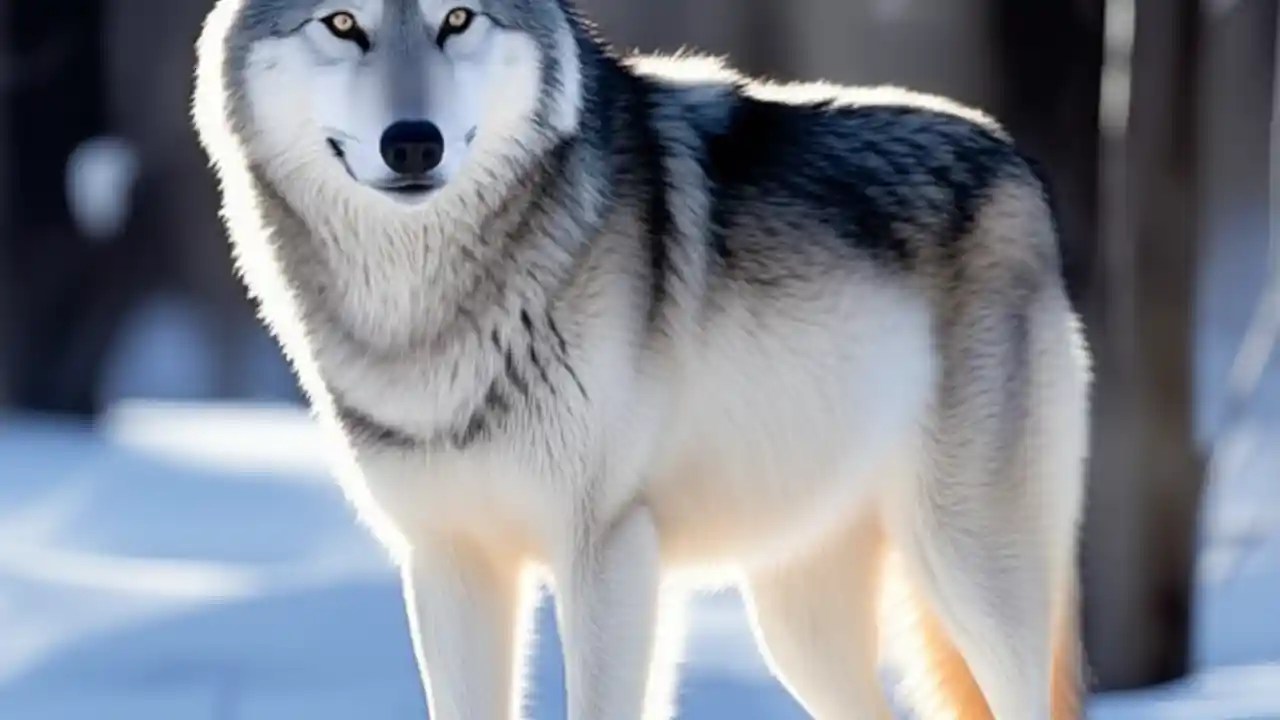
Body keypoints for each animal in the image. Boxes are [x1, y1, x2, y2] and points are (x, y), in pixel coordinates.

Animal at [193, 0, 1091, 717]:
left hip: (970, 574)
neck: (431, 317)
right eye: (344, 22)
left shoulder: (609, 553)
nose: (413, 144)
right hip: (798, 624)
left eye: (459, 17)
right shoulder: (450, 563)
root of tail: (1013, 160)